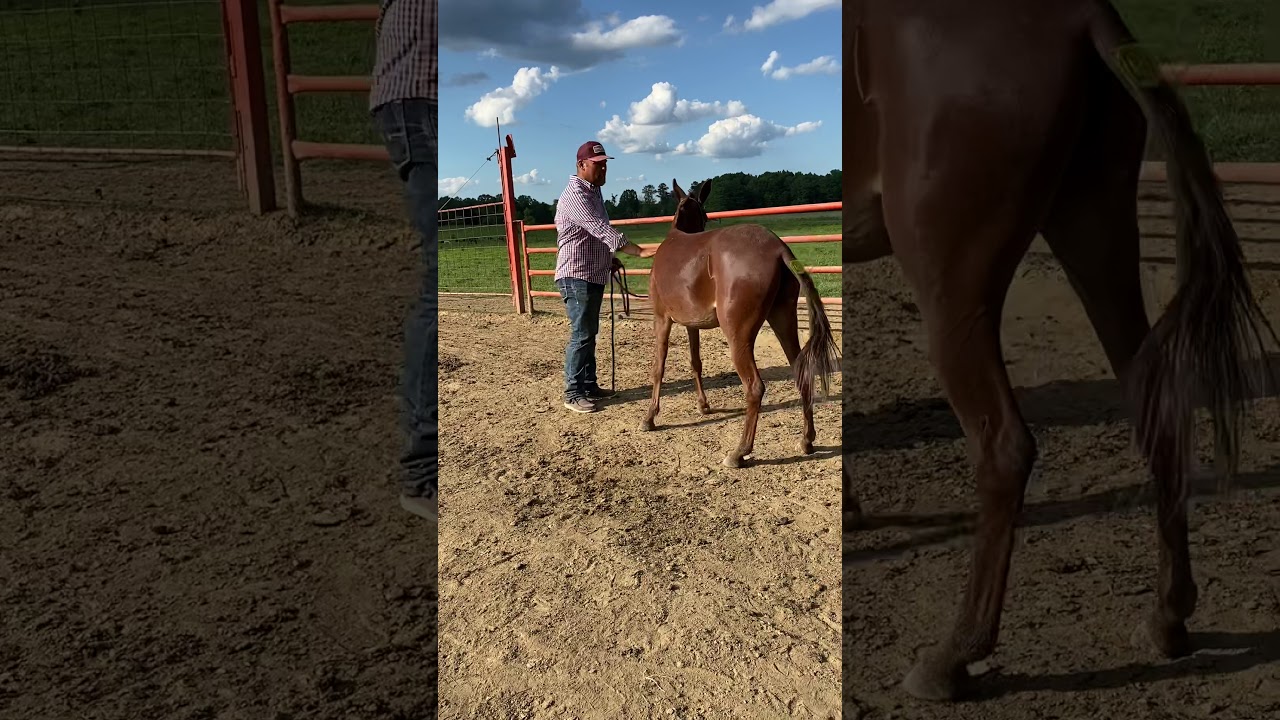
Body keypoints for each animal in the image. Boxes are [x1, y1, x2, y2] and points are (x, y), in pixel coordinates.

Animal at [641, 178, 841, 468]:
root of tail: (777, 247)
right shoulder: (692, 324)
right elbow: (695, 362)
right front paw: (703, 406)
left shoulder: (661, 318)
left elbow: (659, 367)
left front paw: (649, 417)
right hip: (783, 321)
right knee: (802, 375)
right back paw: (806, 441)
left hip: (738, 337)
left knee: (755, 387)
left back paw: (739, 453)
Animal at [844, 0, 1277, 702]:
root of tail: (1079, 13)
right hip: (1093, 230)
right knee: (1157, 407)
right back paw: (1168, 617)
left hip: (954, 293)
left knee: (1003, 450)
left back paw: (952, 657)